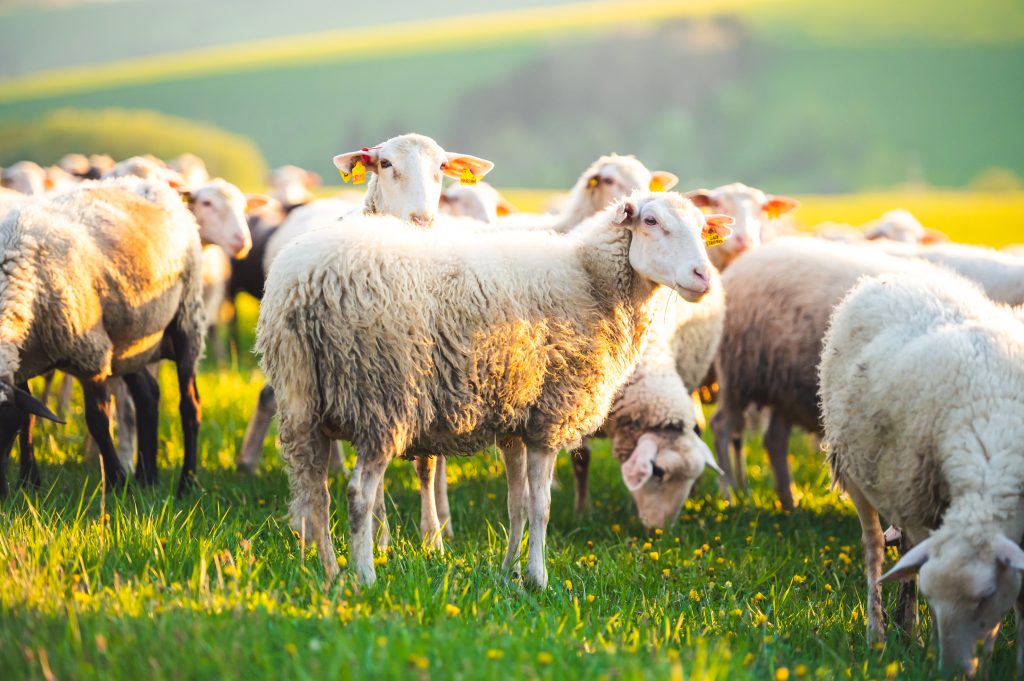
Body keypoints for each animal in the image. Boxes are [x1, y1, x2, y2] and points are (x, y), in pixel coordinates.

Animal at [0, 177, 206, 497]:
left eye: (3, 429)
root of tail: (154, 183)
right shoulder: (22, 364)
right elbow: (30, 416)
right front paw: (29, 482)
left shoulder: (90, 355)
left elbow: (97, 421)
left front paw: (117, 482)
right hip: (129, 344)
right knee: (148, 394)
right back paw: (148, 478)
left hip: (187, 320)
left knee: (190, 406)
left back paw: (186, 483)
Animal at [256, 190, 732, 587]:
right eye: (650, 221)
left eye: (703, 230)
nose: (702, 276)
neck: (592, 283)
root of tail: (303, 284)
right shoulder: (549, 418)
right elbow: (541, 506)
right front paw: (538, 579)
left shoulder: (515, 422)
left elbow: (516, 503)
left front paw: (509, 573)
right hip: (380, 394)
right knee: (358, 494)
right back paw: (364, 578)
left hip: (302, 402)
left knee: (314, 493)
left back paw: (329, 573)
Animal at [710, 238, 939, 509]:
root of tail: (739, 264)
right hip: (741, 373)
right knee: (721, 426)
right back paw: (728, 494)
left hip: (784, 386)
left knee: (774, 440)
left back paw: (789, 503)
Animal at [819, 270, 1024, 676]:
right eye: (935, 599)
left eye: (988, 595)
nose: (954, 672)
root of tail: (895, 274)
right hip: (859, 472)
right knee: (877, 548)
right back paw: (882, 633)